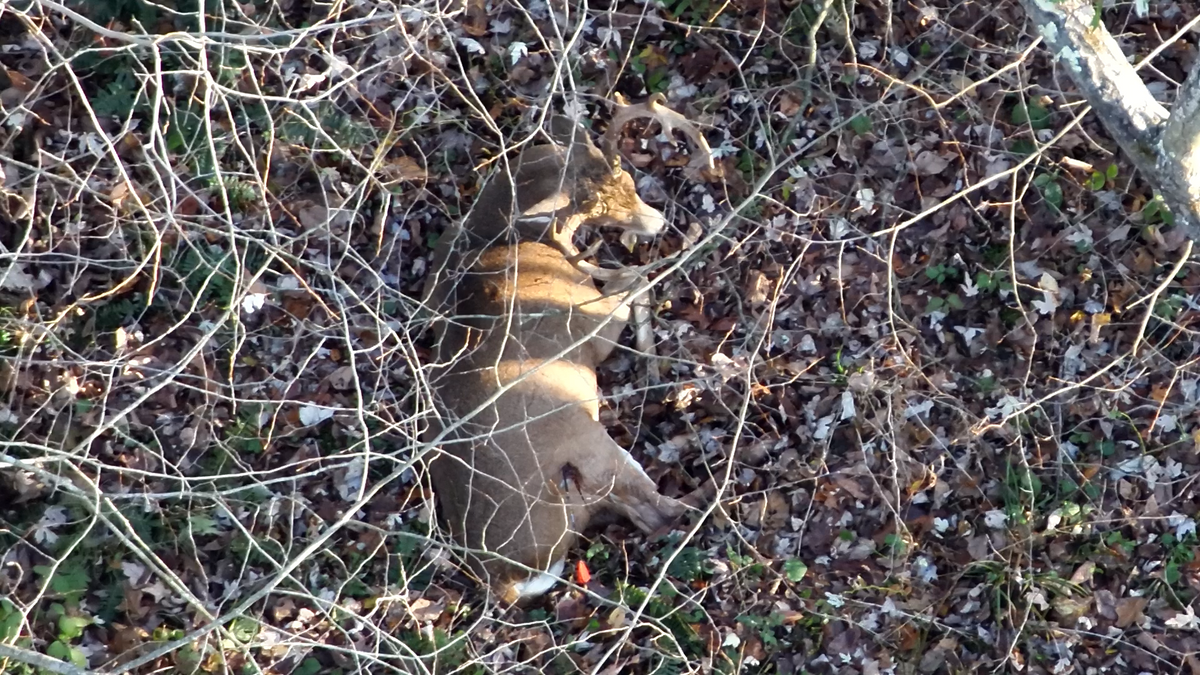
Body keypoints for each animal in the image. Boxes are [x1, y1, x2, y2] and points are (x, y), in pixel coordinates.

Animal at [420, 95, 715, 603]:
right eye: (597, 207)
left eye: (629, 182)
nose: (658, 222)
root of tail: (505, 578)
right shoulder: (590, 323)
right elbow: (635, 281)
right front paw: (653, 359)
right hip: (590, 446)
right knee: (659, 510)